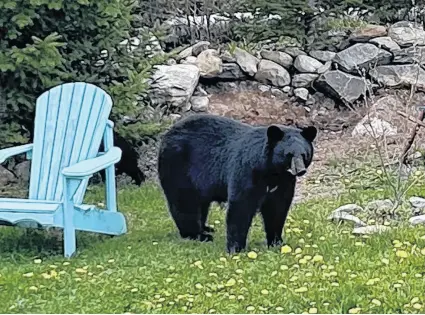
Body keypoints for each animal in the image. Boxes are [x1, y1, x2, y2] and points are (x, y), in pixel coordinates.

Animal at [157, 113, 316, 254]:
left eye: (304, 154)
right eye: (288, 155)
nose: (300, 170)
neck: (273, 172)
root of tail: (167, 134)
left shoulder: (284, 182)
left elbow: (277, 208)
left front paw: (277, 242)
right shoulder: (248, 171)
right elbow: (241, 205)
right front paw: (236, 248)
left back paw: (206, 228)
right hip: (178, 165)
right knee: (184, 201)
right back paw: (198, 235)